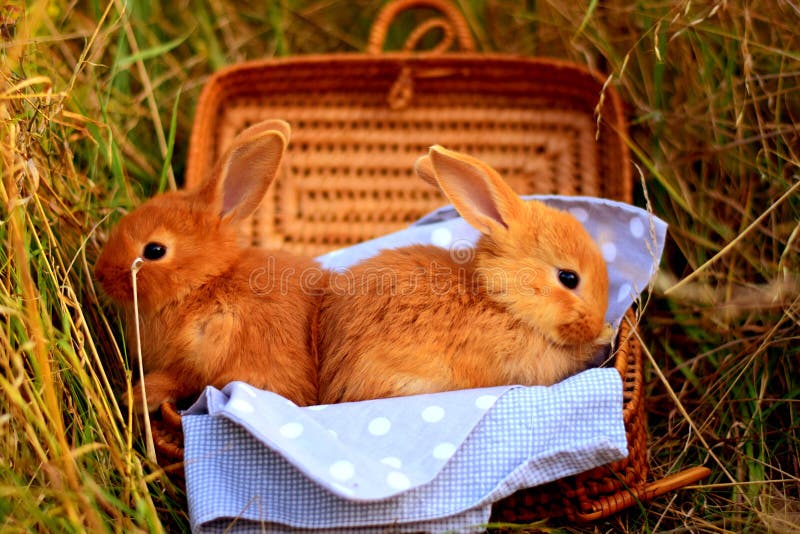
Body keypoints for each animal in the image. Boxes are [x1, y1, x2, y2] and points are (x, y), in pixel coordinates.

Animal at [94, 120, 324, 412]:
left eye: (155, 251)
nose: (100, 274)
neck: (202, 282)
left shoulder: (207, 346)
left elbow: (178, 379)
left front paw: (137, 397)